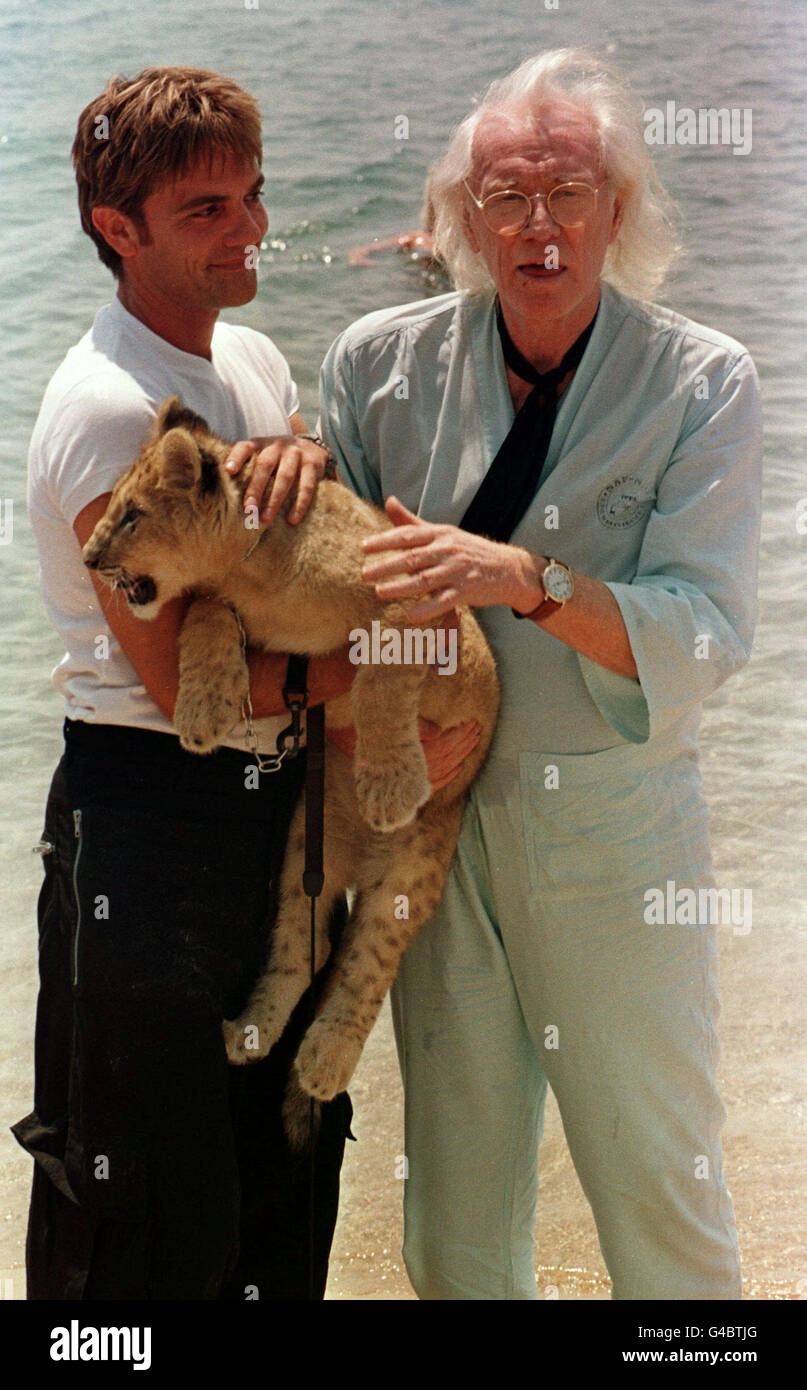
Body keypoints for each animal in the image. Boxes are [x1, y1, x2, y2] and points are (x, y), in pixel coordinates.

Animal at [83, 396, 499, 1146]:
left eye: (131, 514)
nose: (88, 557)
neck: (253, 569)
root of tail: (361, 863)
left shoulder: (415, 599)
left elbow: (381, 671)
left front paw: (388, 785)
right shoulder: (228, 608)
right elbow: (205, 617)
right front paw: (203, 712)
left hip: (414, 870)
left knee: (365, 969)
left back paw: (323, 1062)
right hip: (301, 852)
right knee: (306, 950)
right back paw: (246, 1034)